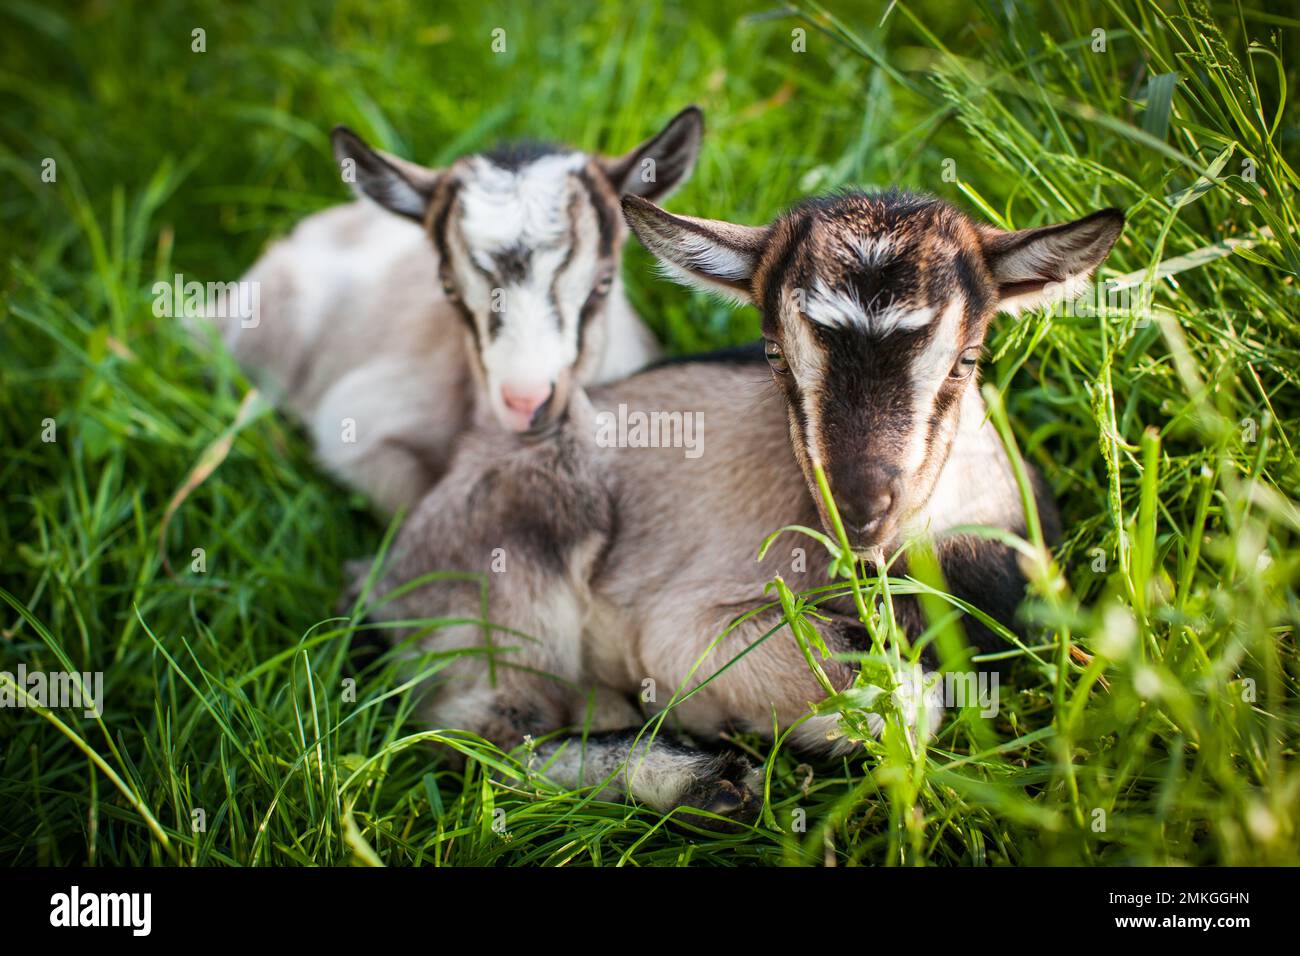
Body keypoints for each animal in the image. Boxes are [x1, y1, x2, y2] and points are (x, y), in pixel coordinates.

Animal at [357, 189, 1124, 826]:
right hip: (511, 559)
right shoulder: (685, 625)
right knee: (483, 731)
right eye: (774, 354)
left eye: (966, 360)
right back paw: (694, 779)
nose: (859, 512)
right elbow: (907, 700)